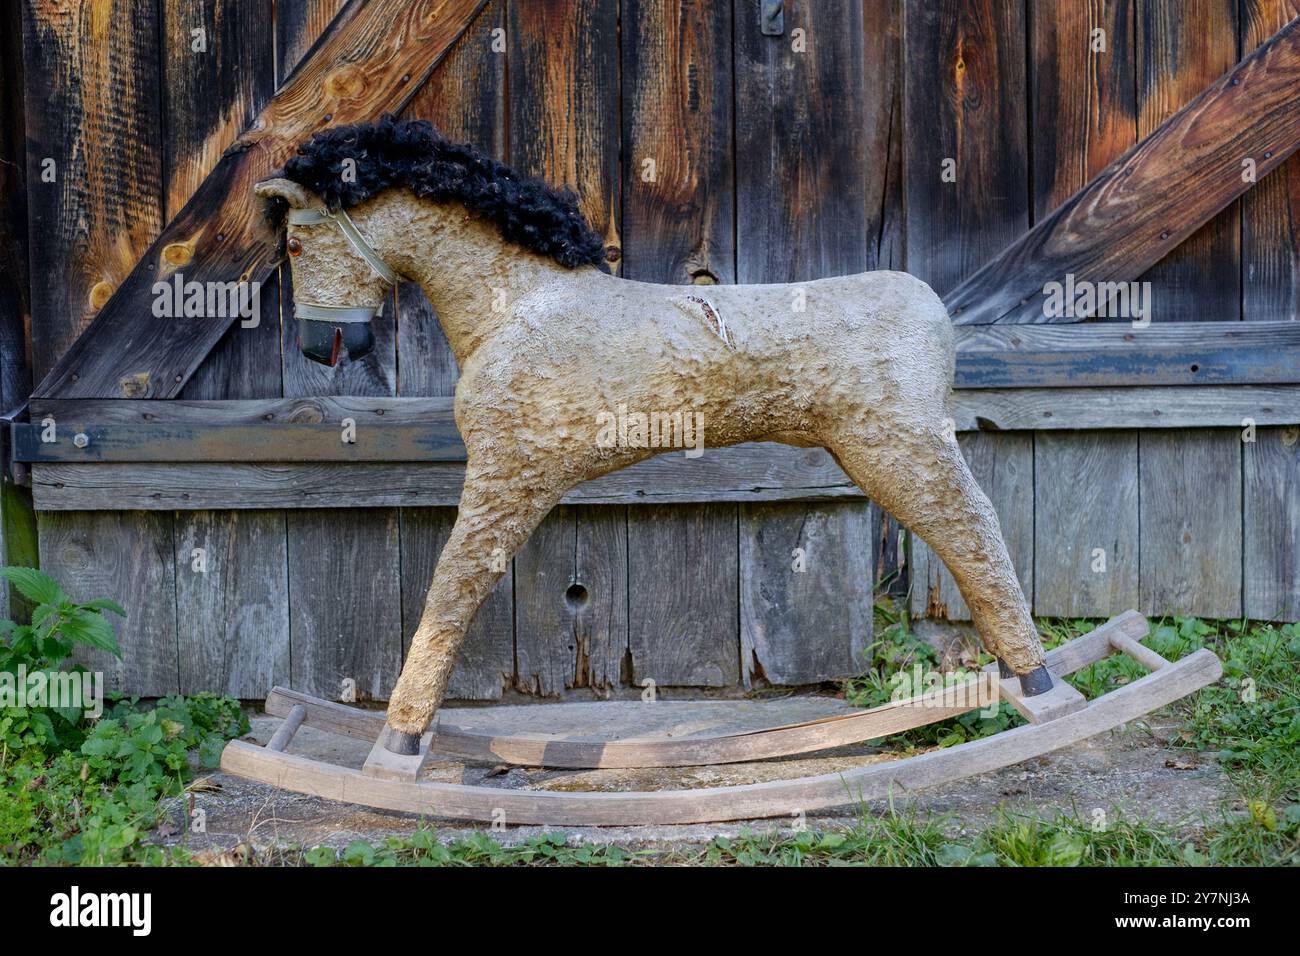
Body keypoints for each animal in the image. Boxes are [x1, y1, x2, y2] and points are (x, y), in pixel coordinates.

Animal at [255, 117, 1053, 755]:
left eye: (294, 244)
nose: (322, 346)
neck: (515, 302)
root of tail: (932, 311)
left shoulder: (506, 474)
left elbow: (450, 593)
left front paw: (398, 743)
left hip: (899, 447)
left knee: (974, 530)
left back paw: (1039, 680)